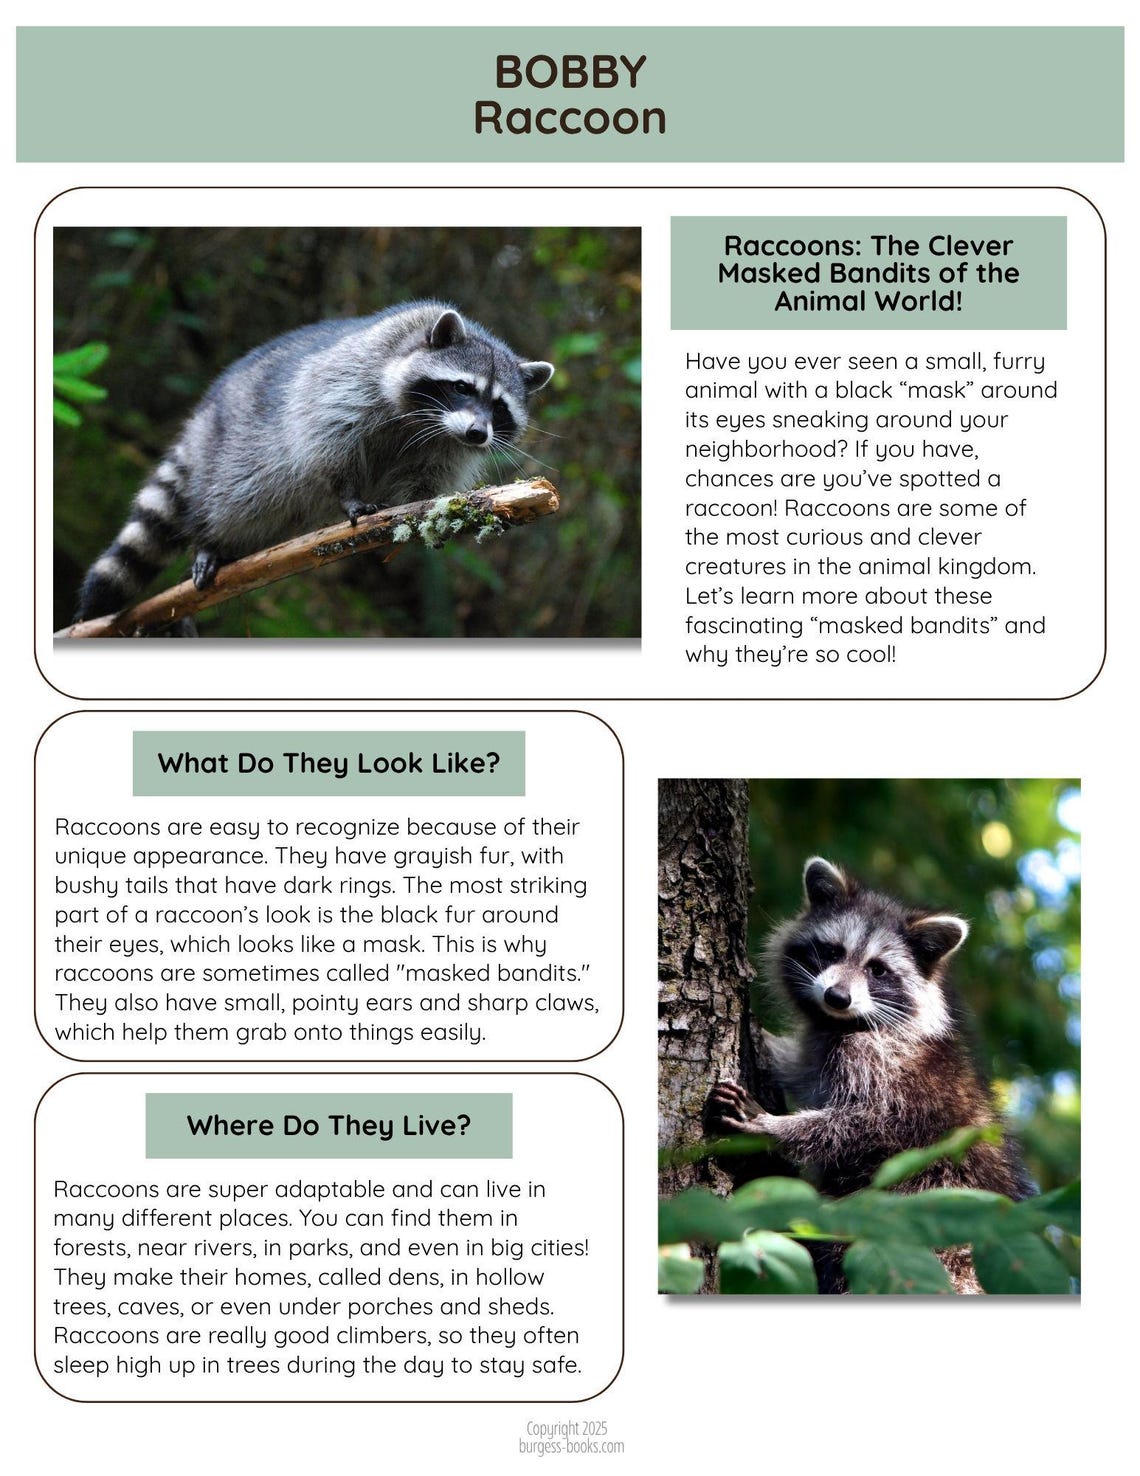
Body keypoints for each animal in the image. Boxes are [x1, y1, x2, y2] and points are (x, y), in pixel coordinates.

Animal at [74, 301, 555, 632]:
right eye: (461, 387)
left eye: (499, 407)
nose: (477, 434)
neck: (427, 421)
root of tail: (204, 416)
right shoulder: (348, 380)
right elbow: (329, 441)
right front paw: (350, 495)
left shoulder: (447, 445)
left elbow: (429, 478)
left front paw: (426, 508)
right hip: (235, 446)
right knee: (237, 494)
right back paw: (212, 541)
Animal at [705, 856, 1033, 1293]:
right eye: (832, 950)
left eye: (877, 970)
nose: (837, 997)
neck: (842, 1023)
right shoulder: (824, 1045)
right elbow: (800, 1067)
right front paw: (769, 1042)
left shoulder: (882, 1064)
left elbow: (869, 1123)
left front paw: (772, 1126)